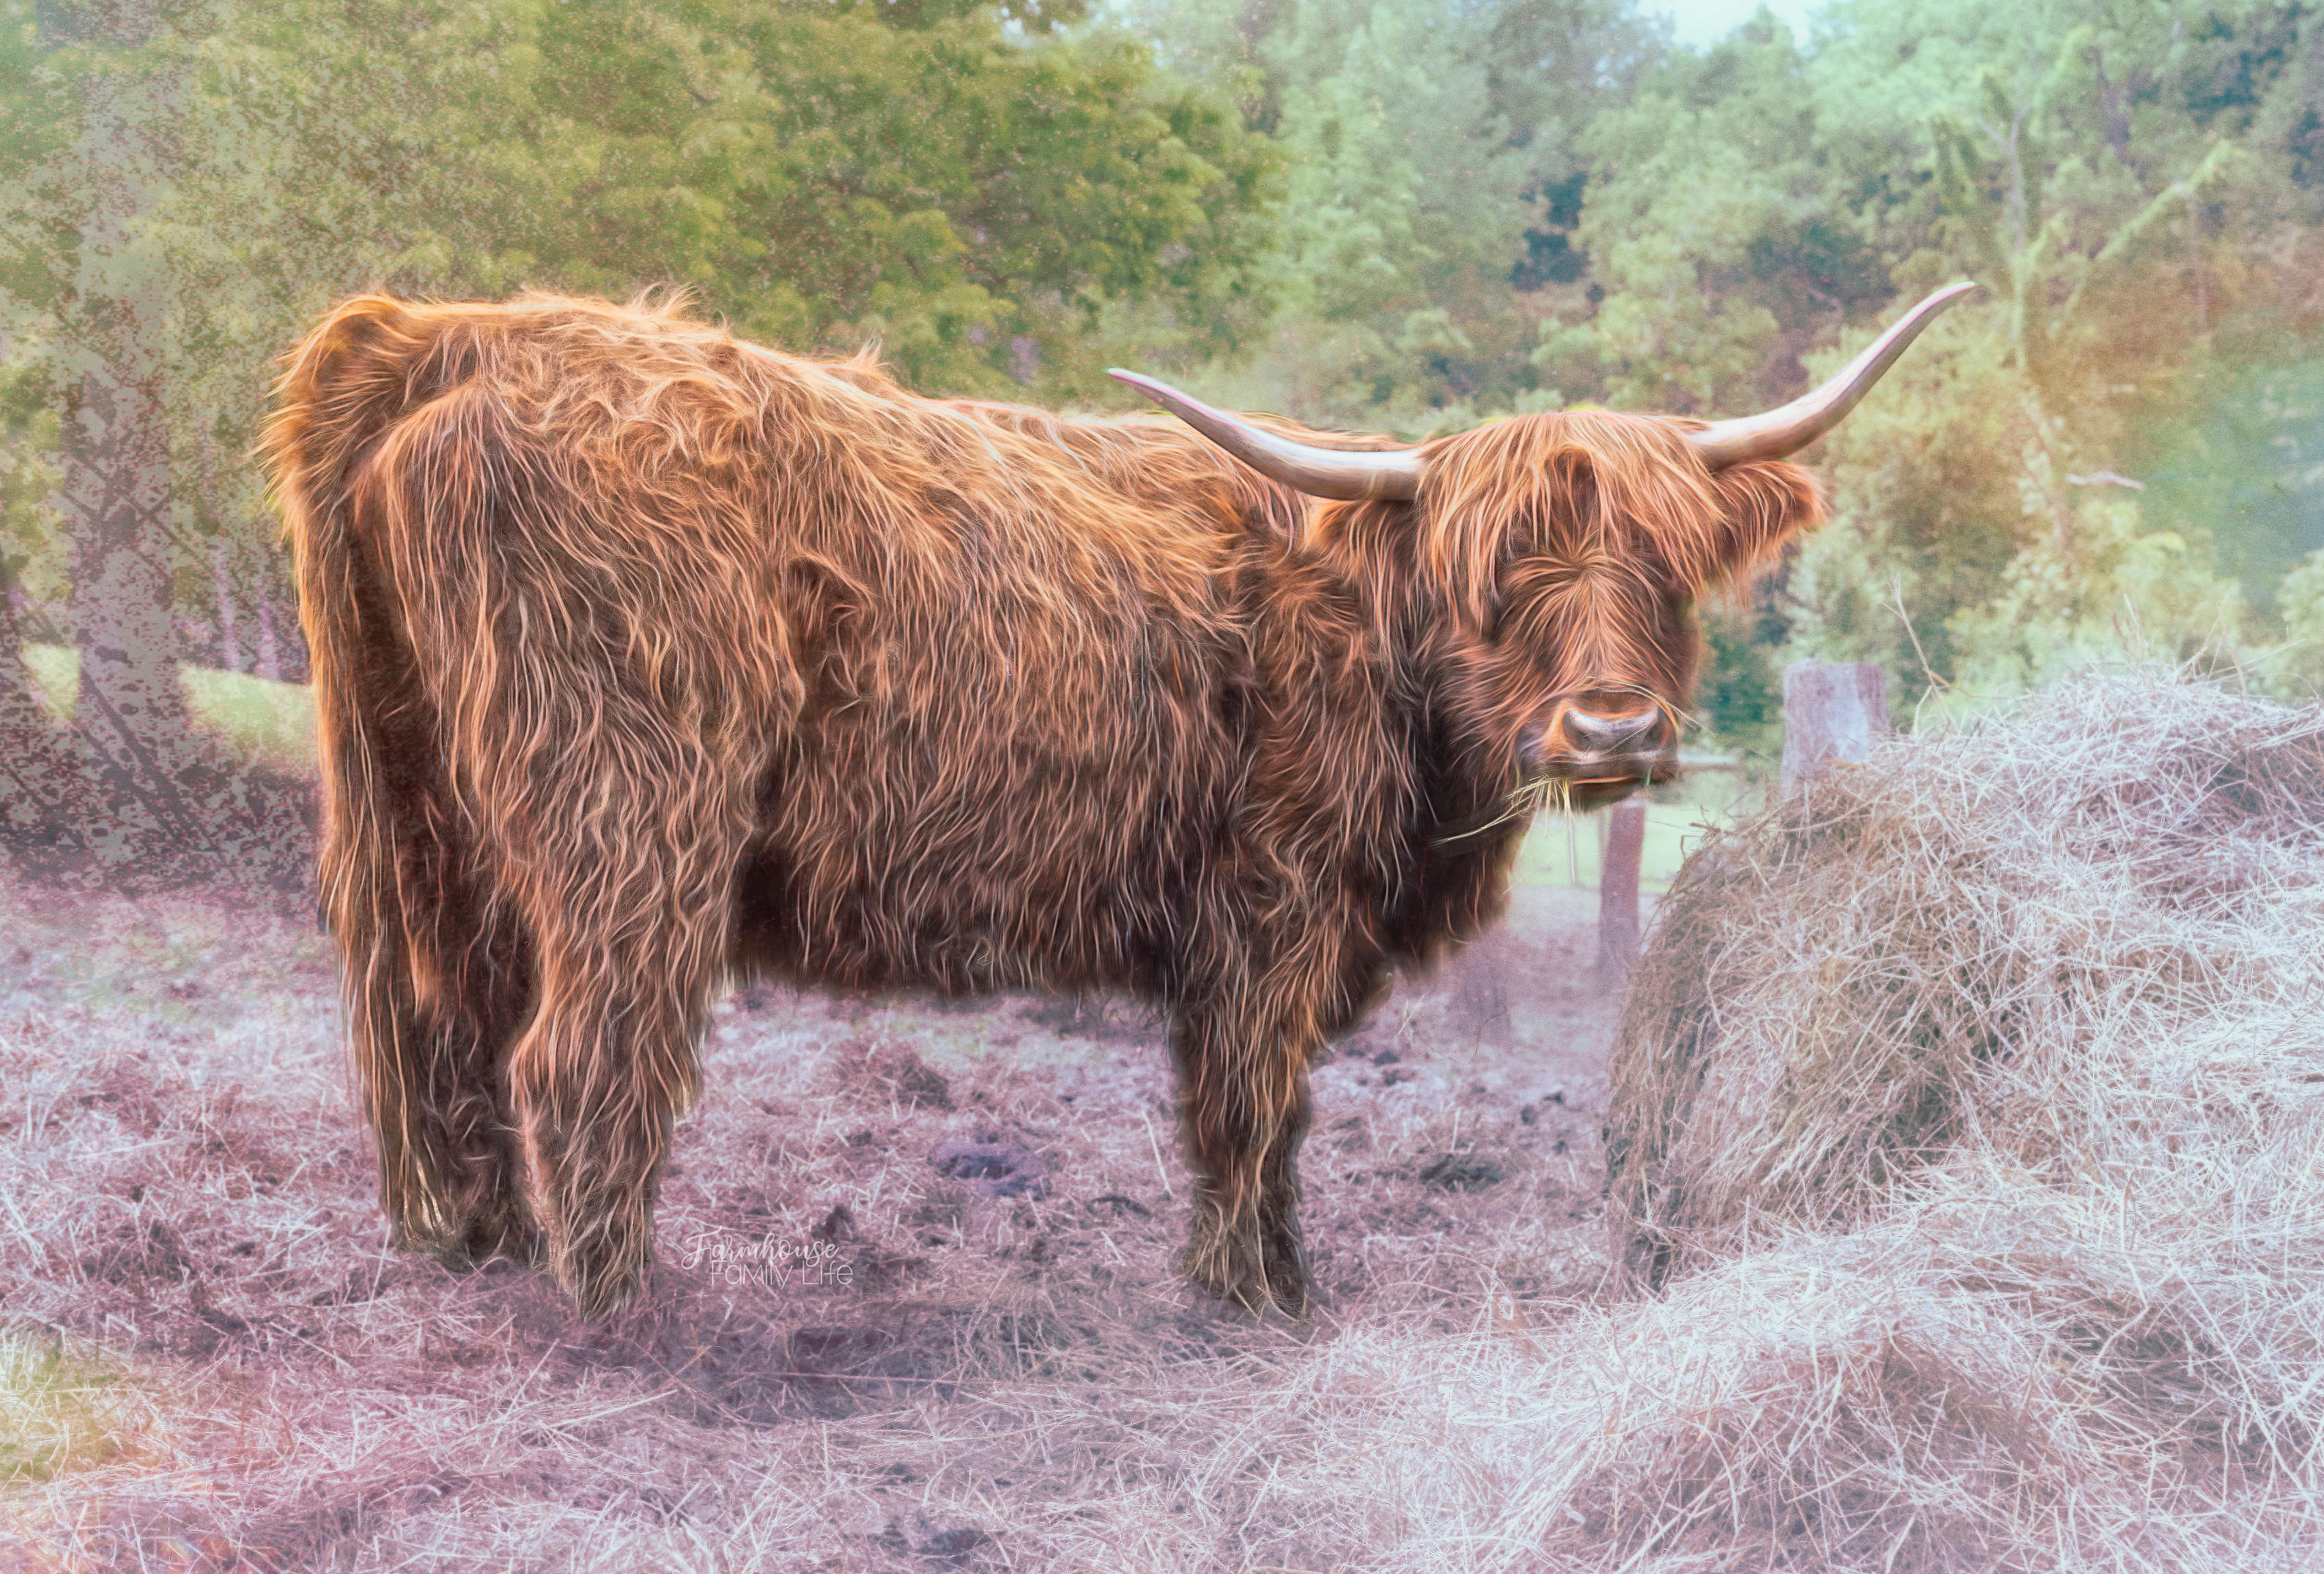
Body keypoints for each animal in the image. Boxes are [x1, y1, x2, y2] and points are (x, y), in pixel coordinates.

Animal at [263, 283, 1968, 1320]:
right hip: (630, 820)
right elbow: (1253, 1097)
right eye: (1499, 576)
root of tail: (453, 337)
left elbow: (1265, 1109)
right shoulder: (1272, 898)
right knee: (577, 1052)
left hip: (413, 813)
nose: (1612, 725)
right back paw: (625, 1304)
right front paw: (1252, 1295)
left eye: (1666, 569)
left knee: (427, 1028)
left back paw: (473, 1256)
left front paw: (1270, 1279)